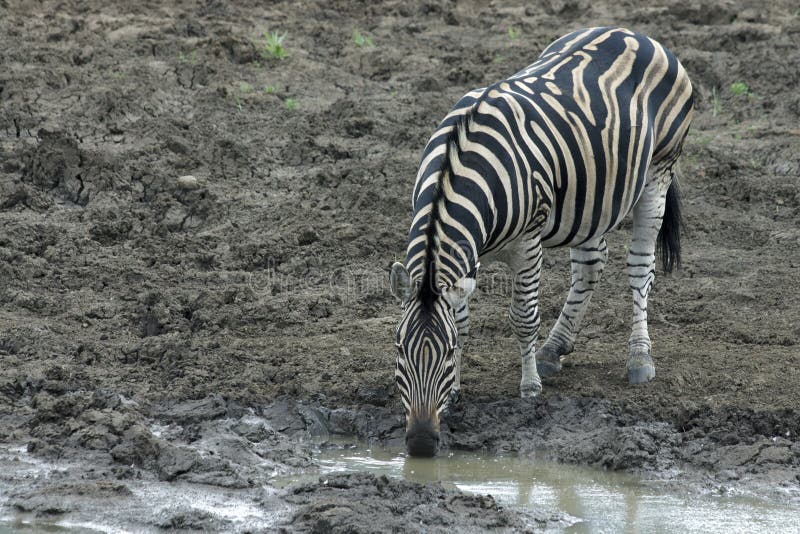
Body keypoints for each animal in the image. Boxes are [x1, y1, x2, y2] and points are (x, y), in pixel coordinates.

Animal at [389, 27, 694, 457]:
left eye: (444, 354)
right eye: (400, 351)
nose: (419, 444)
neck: (460, 164)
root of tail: (635, 33)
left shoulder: (528, 244)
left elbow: (523, 317)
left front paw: (529, 388)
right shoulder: (468, 258)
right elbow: (462, 320)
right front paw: (456, 394)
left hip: (659, 170)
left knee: (640, 267)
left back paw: (638, 358)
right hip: (592, 196)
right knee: (591, 263)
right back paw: (554, 348)